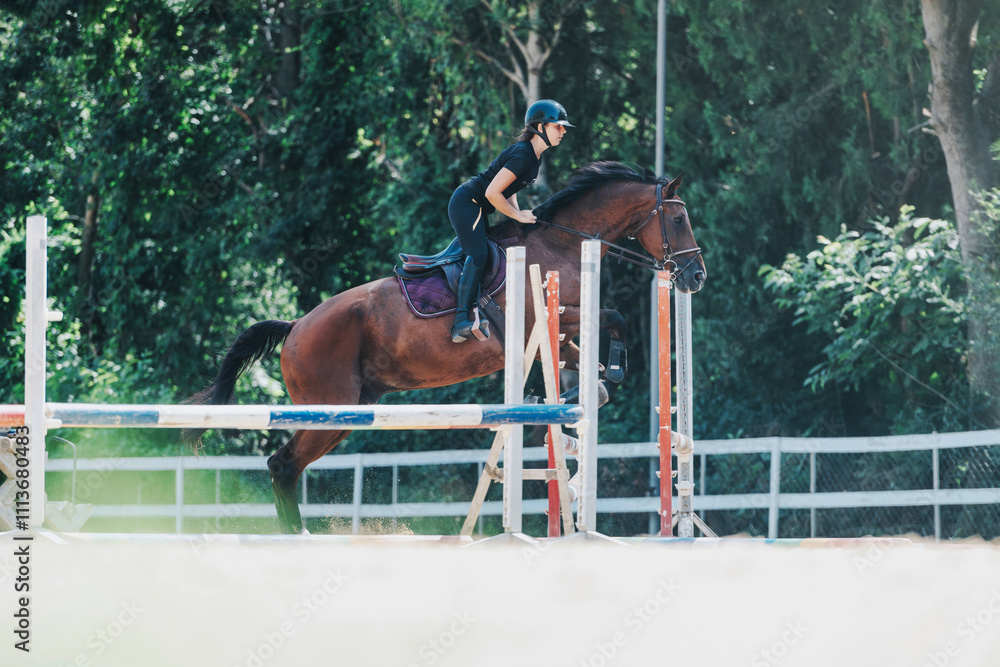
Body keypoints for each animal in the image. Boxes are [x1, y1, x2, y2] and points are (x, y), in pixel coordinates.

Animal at [184, 161, 707, 533]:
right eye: (680, 217)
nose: (696, 277)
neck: (561, 244)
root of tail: (295, 327)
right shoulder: (544, 321)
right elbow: (614, 317)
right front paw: (606, 374)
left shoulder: (555, 338)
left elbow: (591, 361)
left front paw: (580, 392)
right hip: (329, 407)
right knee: (283, 464)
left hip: (351, 409)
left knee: (287, 467)